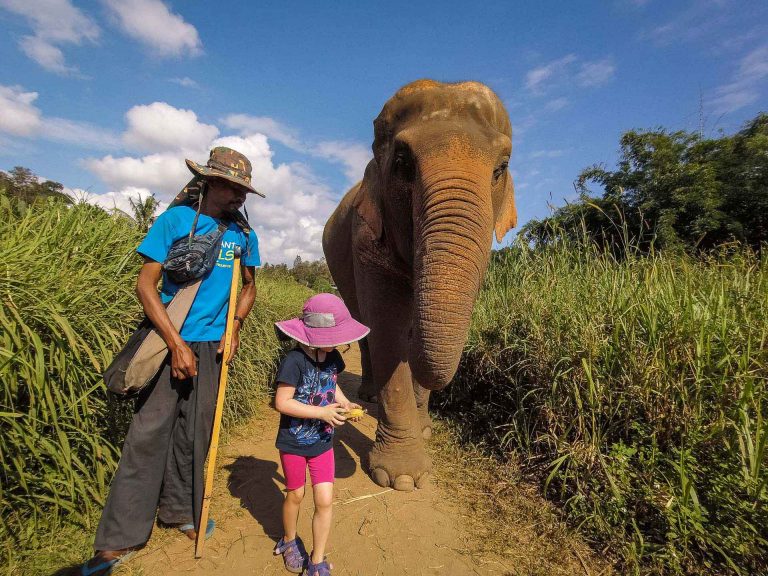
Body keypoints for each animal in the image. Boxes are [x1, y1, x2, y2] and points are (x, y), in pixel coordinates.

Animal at [322, 79, 517, 491]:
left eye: (501, 168)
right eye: (402, 164)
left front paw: (423, 428)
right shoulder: (365, 236)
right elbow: (387, 326)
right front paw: (402, 478)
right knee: (364, 326)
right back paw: (368, 395)